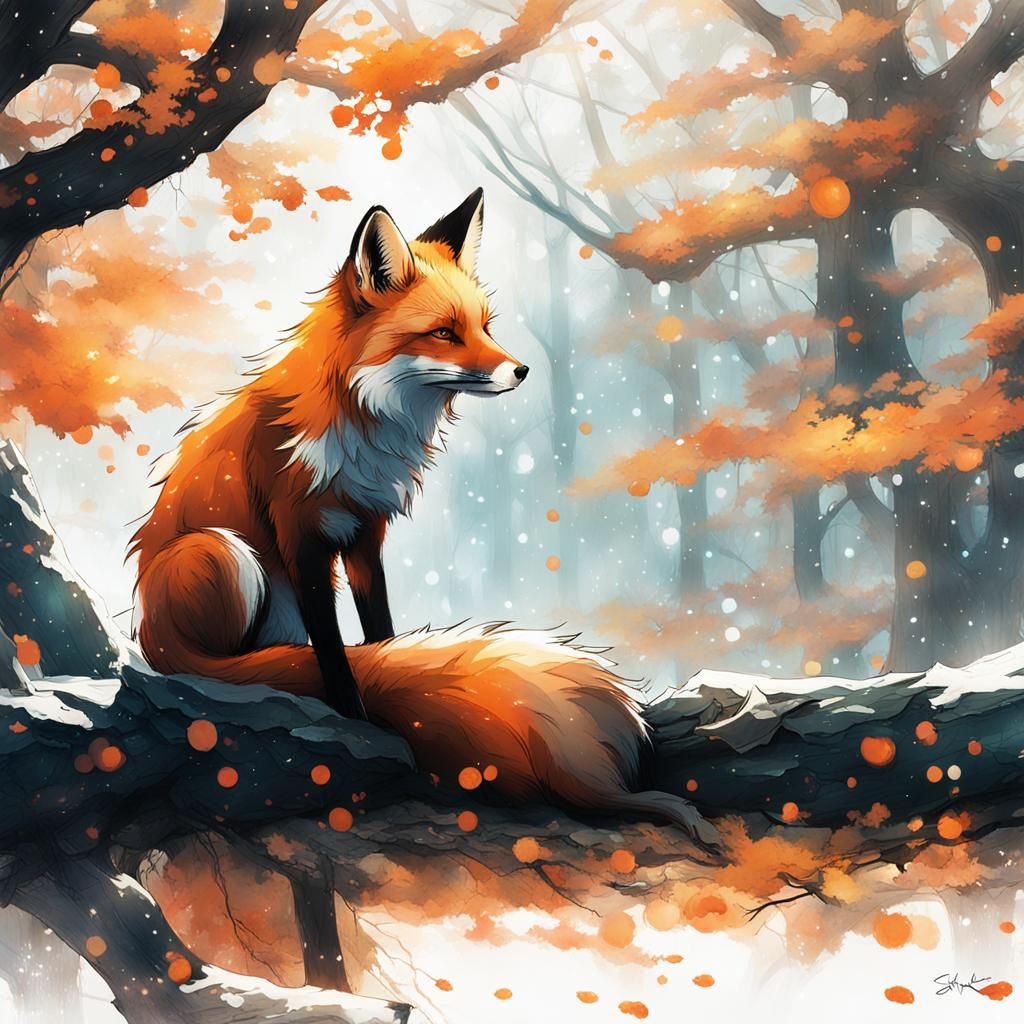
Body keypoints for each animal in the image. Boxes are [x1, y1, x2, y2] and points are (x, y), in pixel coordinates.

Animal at [131, 190, 718, 847]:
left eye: (485, 326)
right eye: (443, 333)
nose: (521, 371)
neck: (364, 423)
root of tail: (154, 643)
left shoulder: (366, 533)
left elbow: (380, 634)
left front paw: (389, 670)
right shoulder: (300, 535)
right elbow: (335, 651)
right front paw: (356, 716)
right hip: (225, 552)